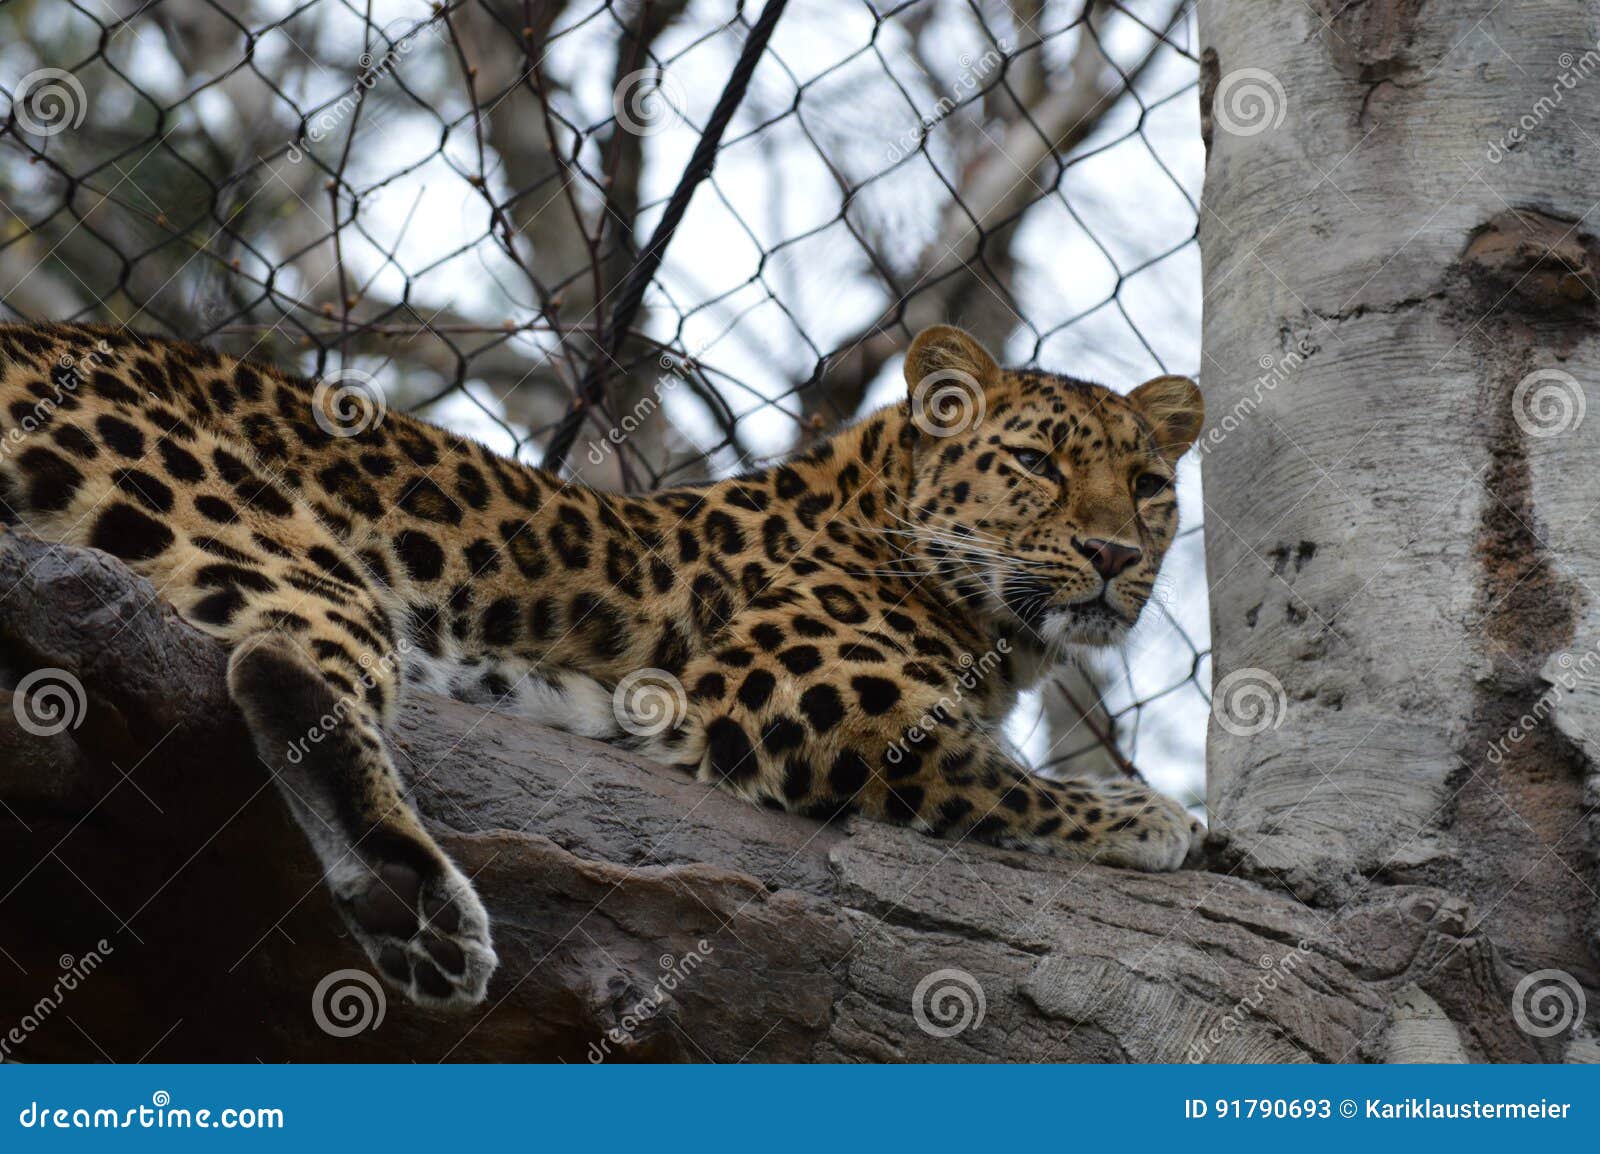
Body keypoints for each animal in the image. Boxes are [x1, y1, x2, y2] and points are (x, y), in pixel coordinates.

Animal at [0, 320, 1205, 1011]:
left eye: (1150, 486)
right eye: (1036, 464)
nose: (1116, 554)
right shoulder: (806, 697)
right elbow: (1003, 778)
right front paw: (1153, 817)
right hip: (223, 499)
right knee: (282, 660)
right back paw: (420, 901)